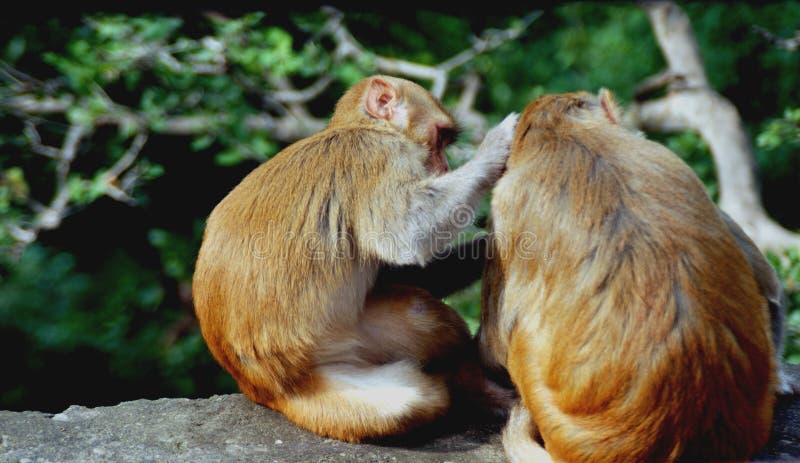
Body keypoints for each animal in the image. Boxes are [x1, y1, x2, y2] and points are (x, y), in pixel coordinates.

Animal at [192, 75, 518, 443]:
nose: (446, 166)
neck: (363, 127)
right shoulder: (380, 156)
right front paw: (495, 147)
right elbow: (408, 232)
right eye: (441, 138)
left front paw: (490, 248)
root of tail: (268, 390)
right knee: (422, 317)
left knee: (413, 399)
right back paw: (477, 390)